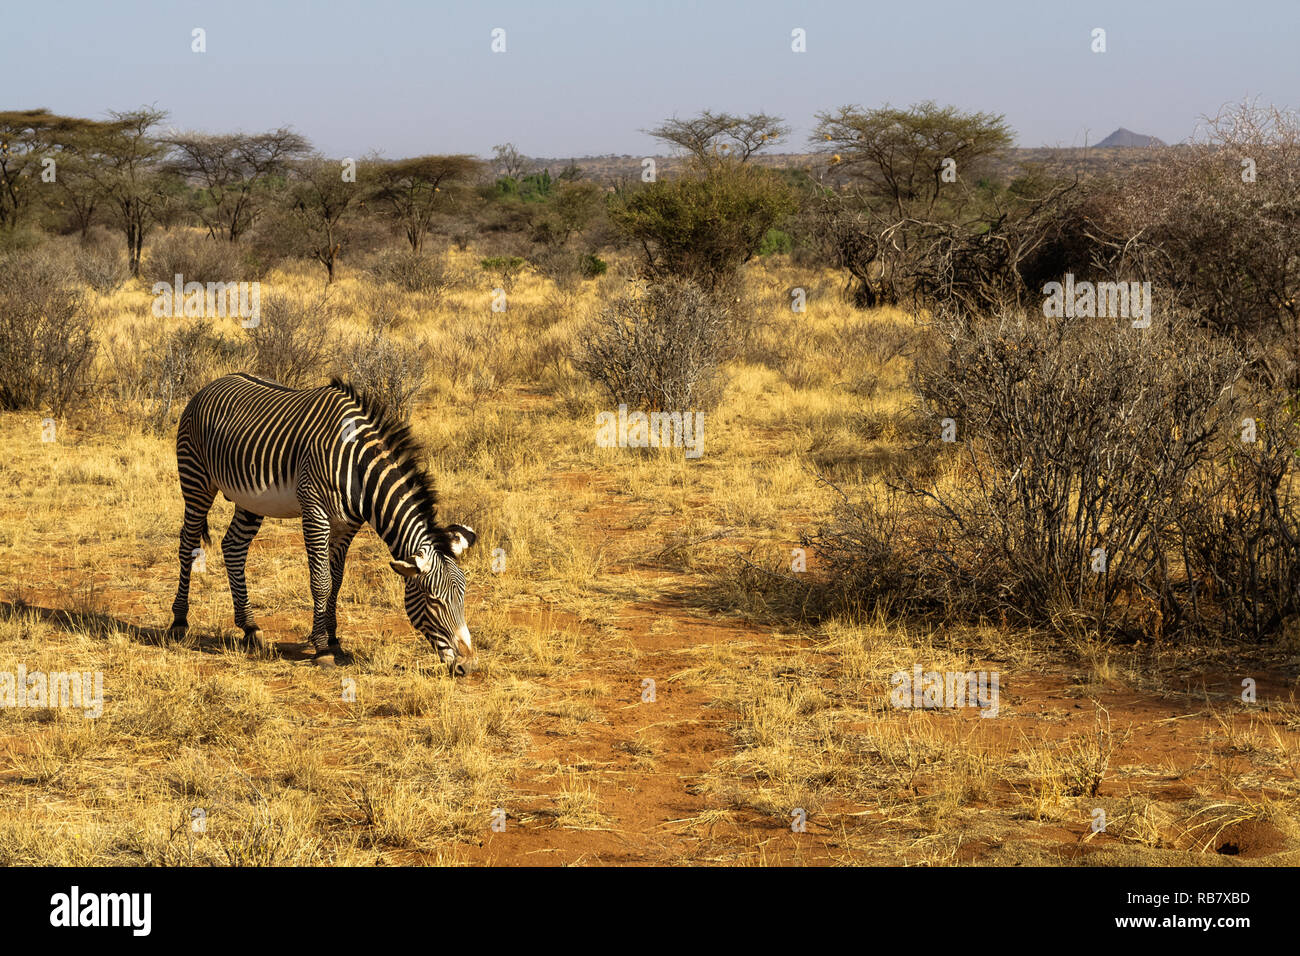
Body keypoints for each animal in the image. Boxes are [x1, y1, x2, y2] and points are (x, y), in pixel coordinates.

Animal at [168, 372, 479, 674]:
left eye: (463, 595)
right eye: (433, 600)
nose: (469, 665)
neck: (358, 467)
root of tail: (212, 384)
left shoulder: (347, 525)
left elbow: (337, 581)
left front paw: (333, 638)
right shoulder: (314, 512)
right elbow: (321, 581)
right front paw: (322, 648)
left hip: (250, 500)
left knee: (233, 547)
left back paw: (250, 627)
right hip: (196, 479)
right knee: (187, 544)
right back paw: (179, 622)